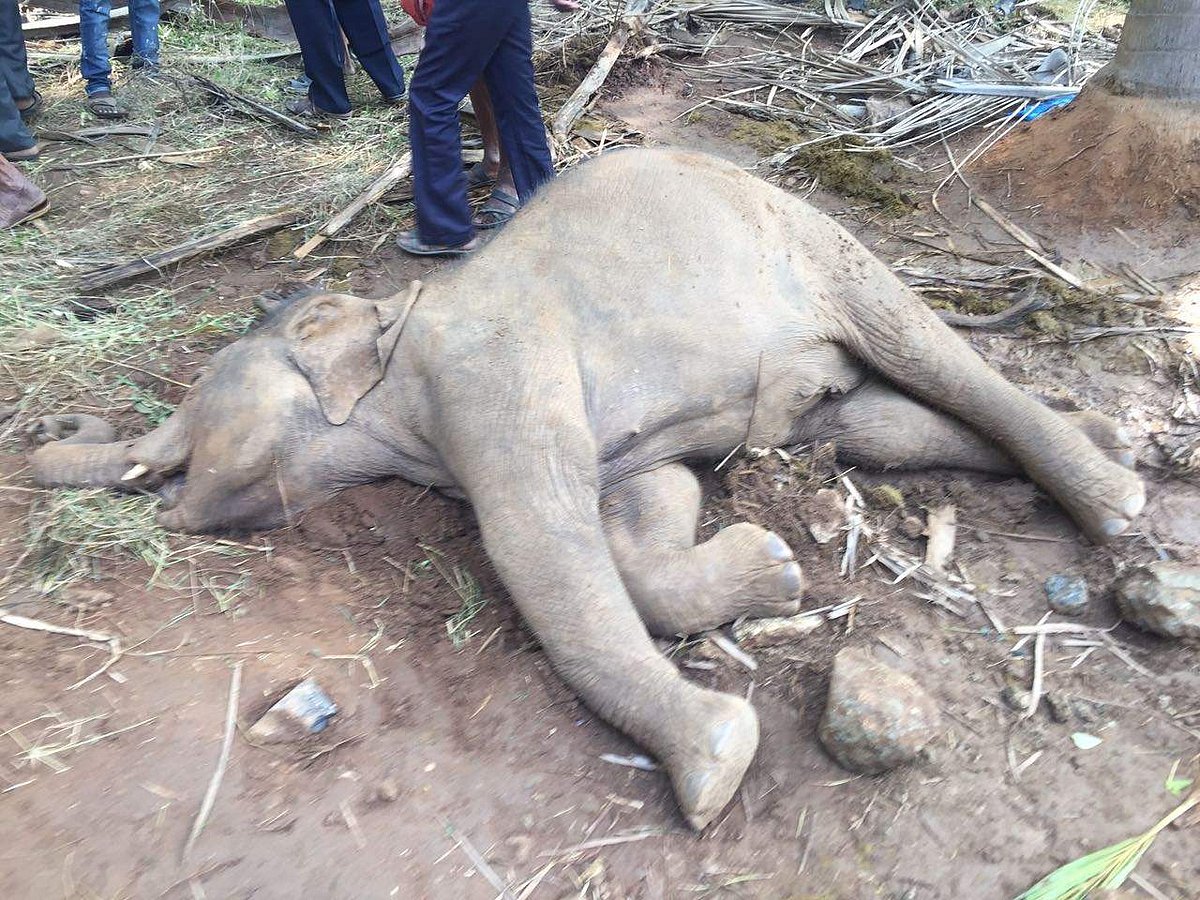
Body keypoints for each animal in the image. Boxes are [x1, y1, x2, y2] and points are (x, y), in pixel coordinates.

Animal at [29, 148, 1144, 830]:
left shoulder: (493, 373)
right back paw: (1095, 447)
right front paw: (773, 572)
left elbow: (541, 549)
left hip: (813, 242)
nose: (51, 425)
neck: (393, 323)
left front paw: (719, 764)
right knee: (875, 420)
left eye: (196, 409)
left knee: (922, 353)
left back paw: (1119, 500)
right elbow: (644, 513)